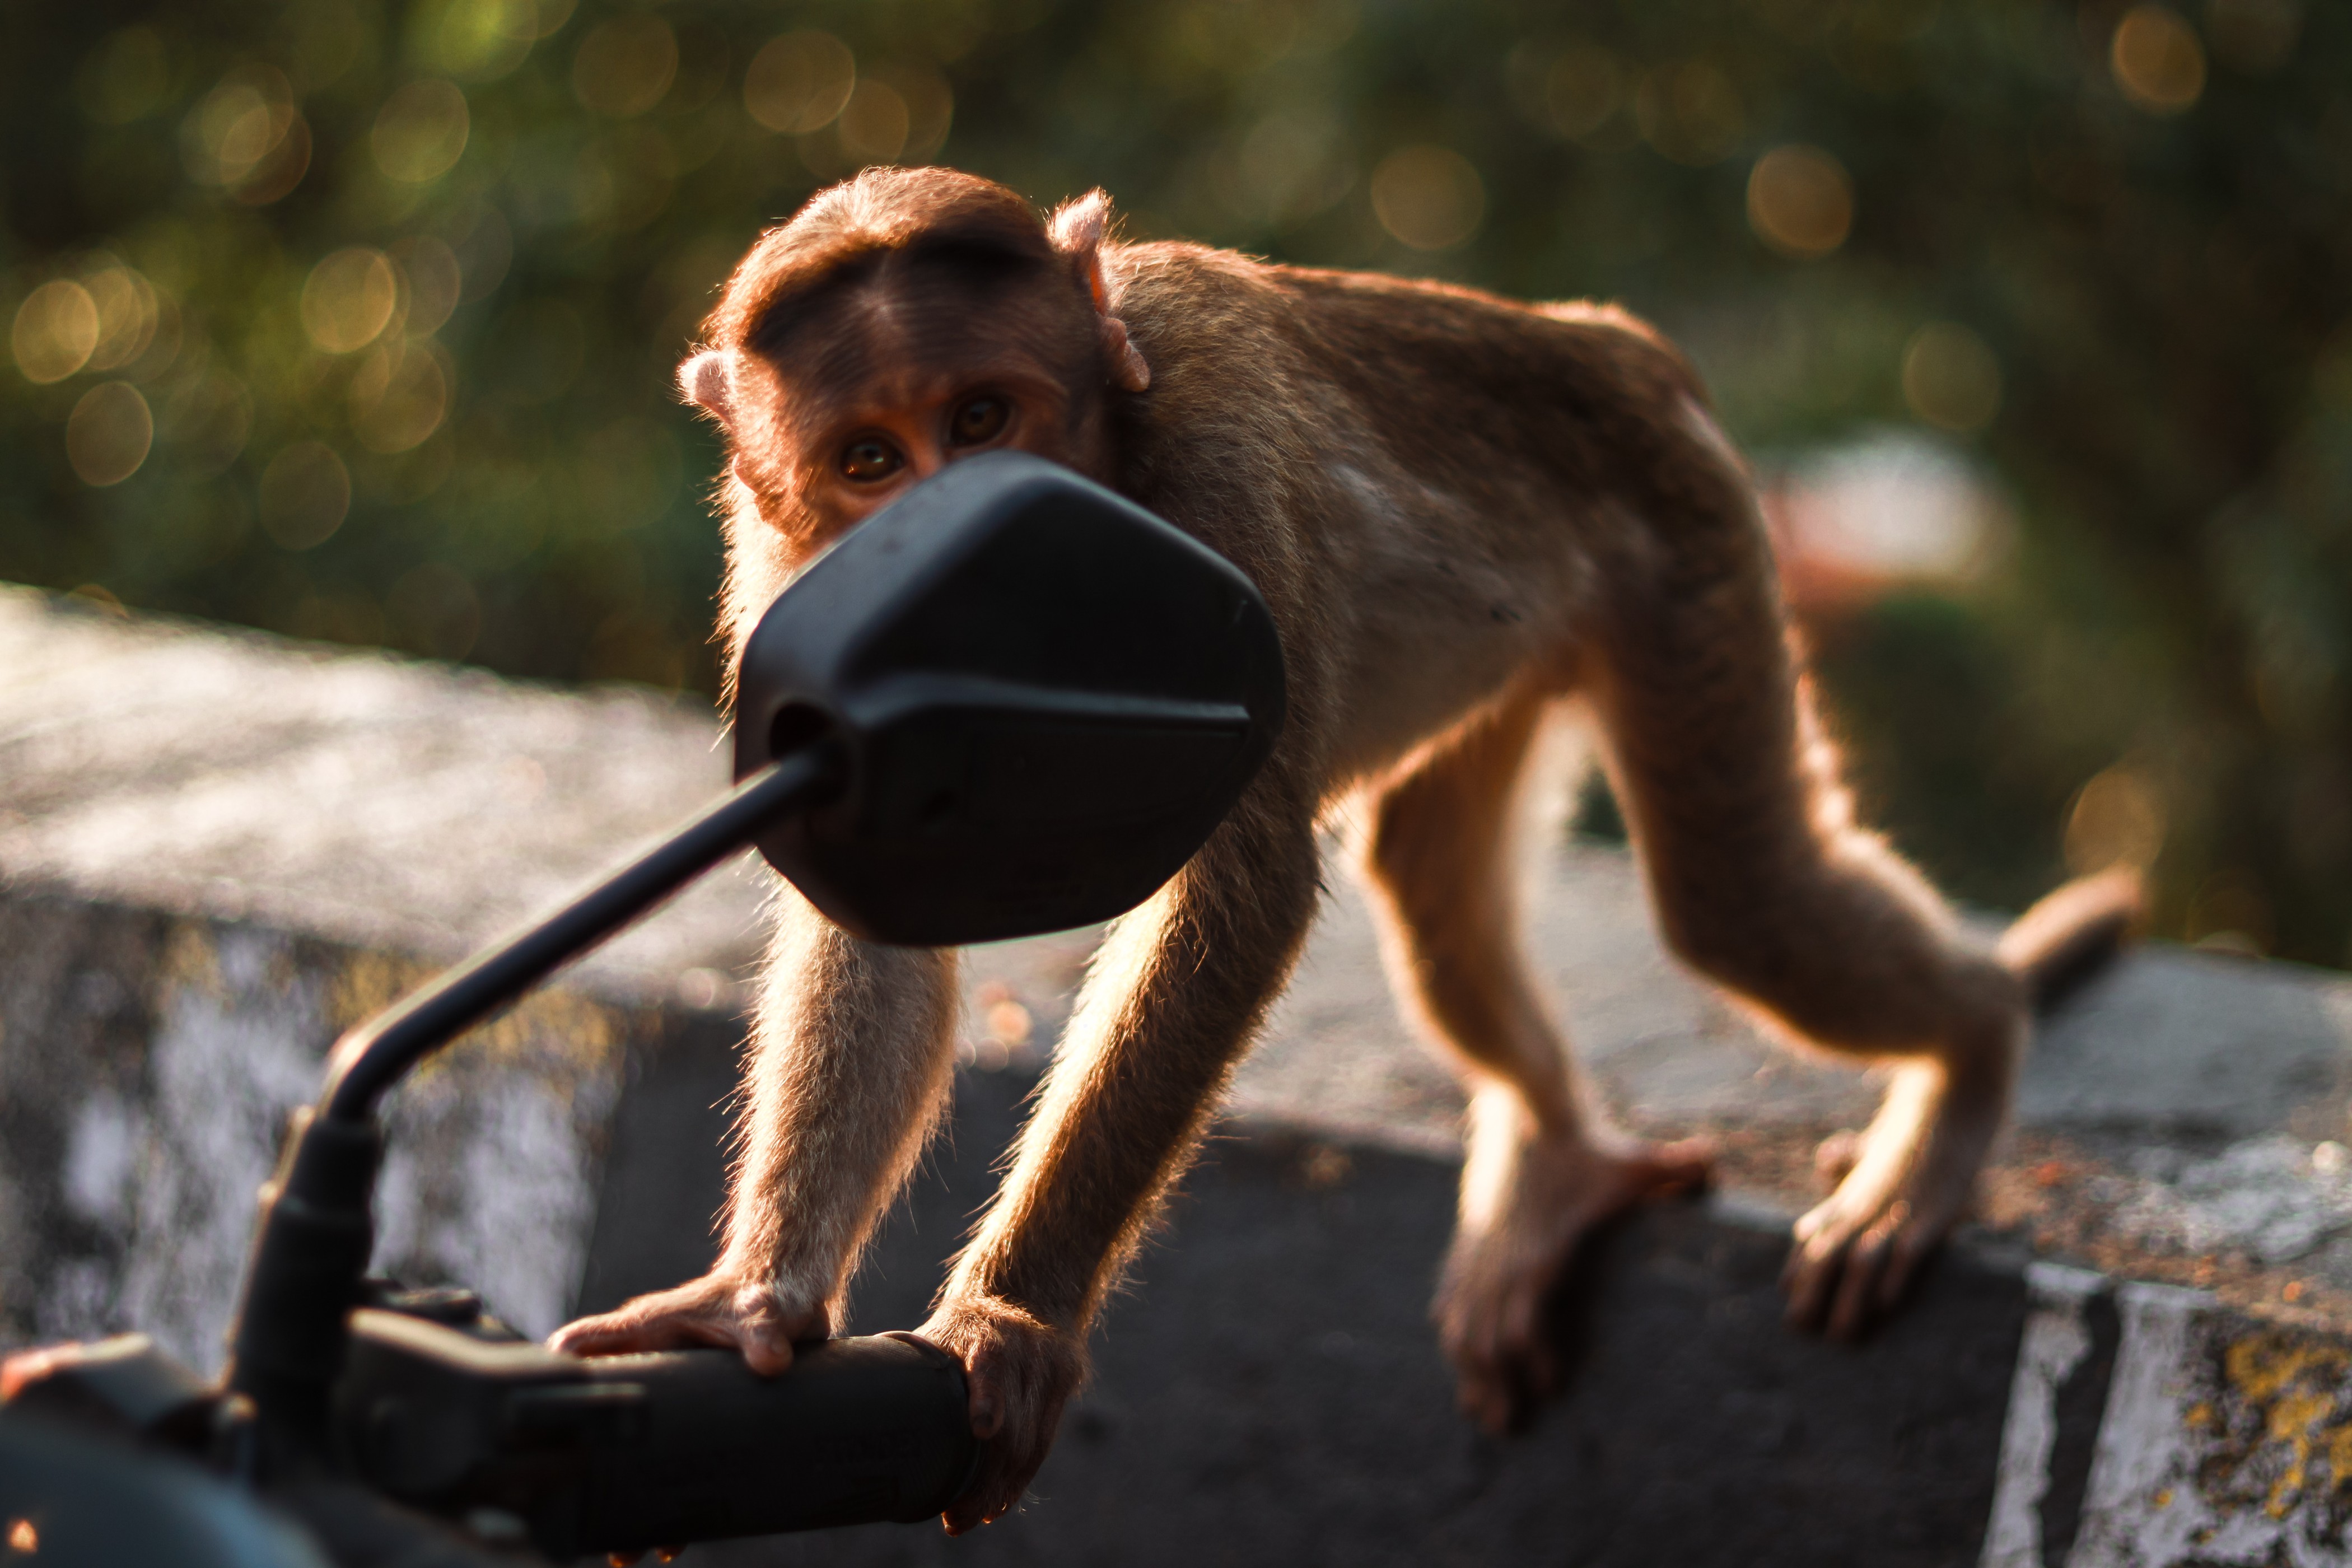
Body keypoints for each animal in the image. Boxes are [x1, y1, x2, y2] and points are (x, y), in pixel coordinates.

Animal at [550, 166, 2141, 1532]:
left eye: (986, 417)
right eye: (873, 460)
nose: (958, 520)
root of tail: (1611, 340)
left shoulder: (1221, 458)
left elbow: (1244, 887)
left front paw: (1012, 1318)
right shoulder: (789, 569)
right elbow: (876, 903)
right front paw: (761, 1298)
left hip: (1689, 548)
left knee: (1734, 902)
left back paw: (1968, 1067)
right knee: (1435, 893)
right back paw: (1556, 1166)